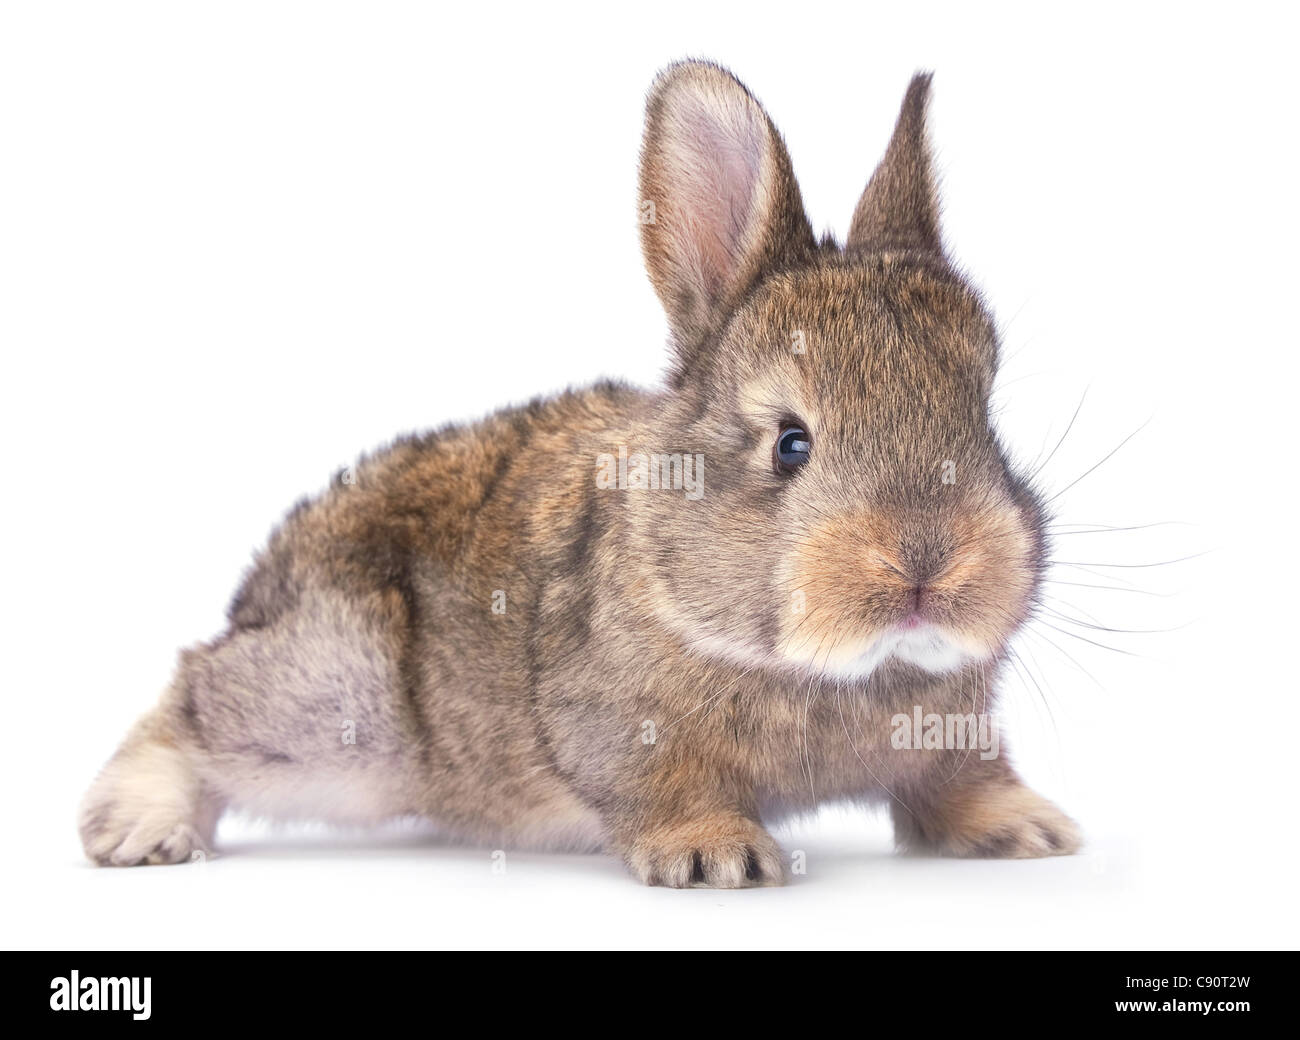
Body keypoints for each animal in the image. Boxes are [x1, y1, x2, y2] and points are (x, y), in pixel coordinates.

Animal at [79, 59, 1080, 886]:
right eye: (790, 443)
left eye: (984, 417)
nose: (928, 565)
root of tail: (266, 583)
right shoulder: (625, 731)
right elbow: (663, 786)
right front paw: (715, 854)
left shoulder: (952, 734)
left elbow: (957, 780)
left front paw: (1029, 829)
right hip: (339, 715)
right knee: (193, 704)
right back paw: (136, 829)